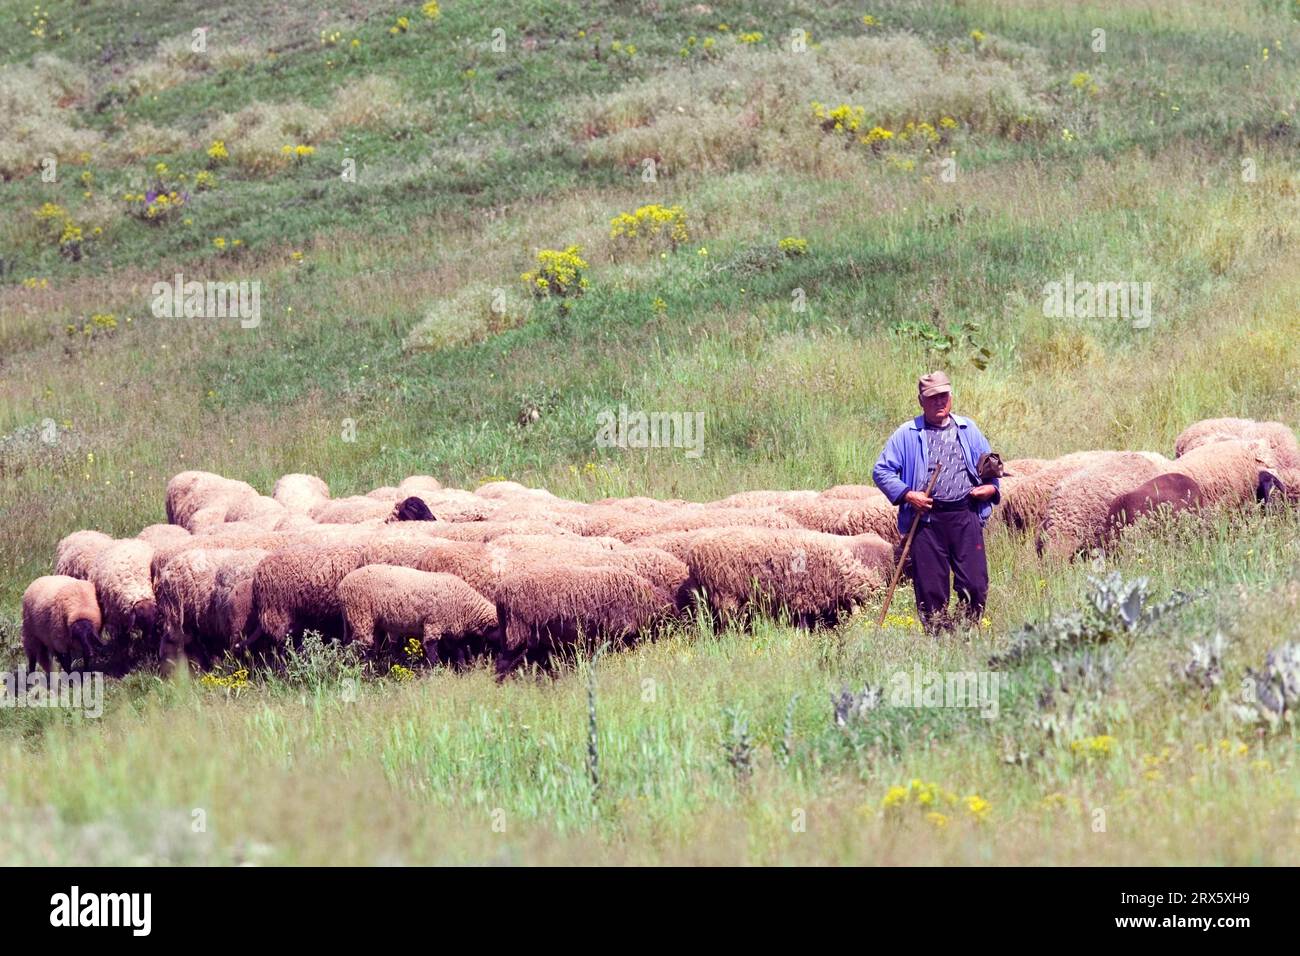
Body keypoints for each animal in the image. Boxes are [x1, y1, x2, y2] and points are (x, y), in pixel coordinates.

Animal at [337, 565, 500, 666]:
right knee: (361, 648)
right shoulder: (433, 624)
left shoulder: (452, 629)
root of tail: (342, 585)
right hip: (361, 616)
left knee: (358, 647)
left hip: (364, 621)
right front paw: (433, 675)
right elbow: (432, 653)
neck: (465, 606)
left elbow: (459, 652)